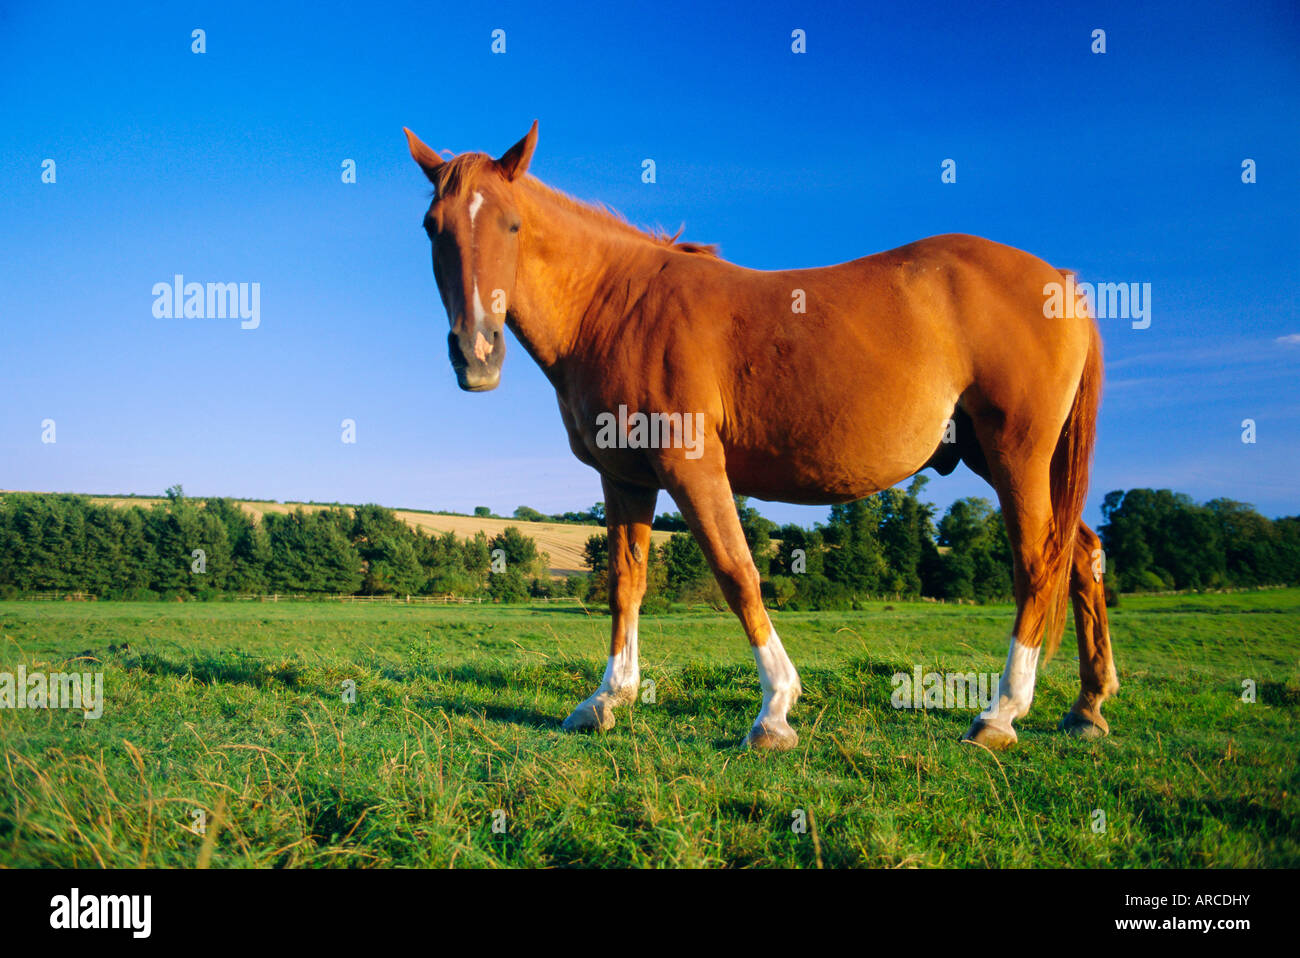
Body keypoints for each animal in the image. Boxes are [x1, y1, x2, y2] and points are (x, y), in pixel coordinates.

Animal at [404, 121, 1118, 751]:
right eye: (433, 228)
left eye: (513, 225)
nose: (476, 354)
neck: (617, 306)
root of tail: (1060, 282)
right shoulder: (626, 478)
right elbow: (625, 584)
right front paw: (608, 699)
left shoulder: (692, 470)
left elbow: (736, 572)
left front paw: (774, 711)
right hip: (1001, 459)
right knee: (1083, 554)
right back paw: (1087, 707)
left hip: (1016, 454)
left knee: (1038, 563)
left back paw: (1001, 714)